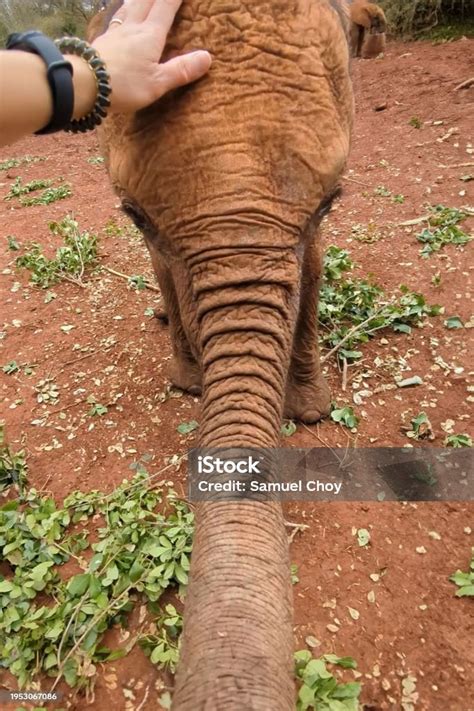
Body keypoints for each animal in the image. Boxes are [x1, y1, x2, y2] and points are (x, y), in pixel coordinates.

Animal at [89, 1, 353, 708]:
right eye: (135, 214)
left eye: (330, 200)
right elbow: (166, 272)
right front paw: (187, 384)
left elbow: (312, 272)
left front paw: (309, 411)